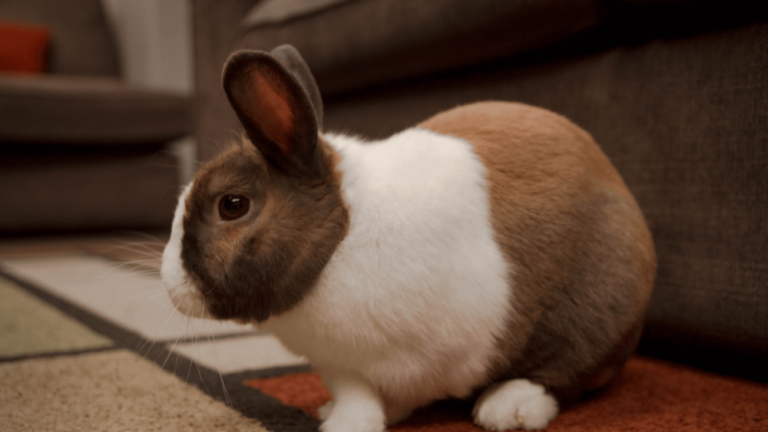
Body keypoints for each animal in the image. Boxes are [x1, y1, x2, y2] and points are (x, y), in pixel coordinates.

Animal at [161, 45, 656, 432]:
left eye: (232, 205)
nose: (169, 284)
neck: (342, 240)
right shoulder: (345, 367)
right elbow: (359, 395)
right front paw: (338, 415)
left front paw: (342, 425)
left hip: (595, 312)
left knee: (565, 374)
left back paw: (508, 408)